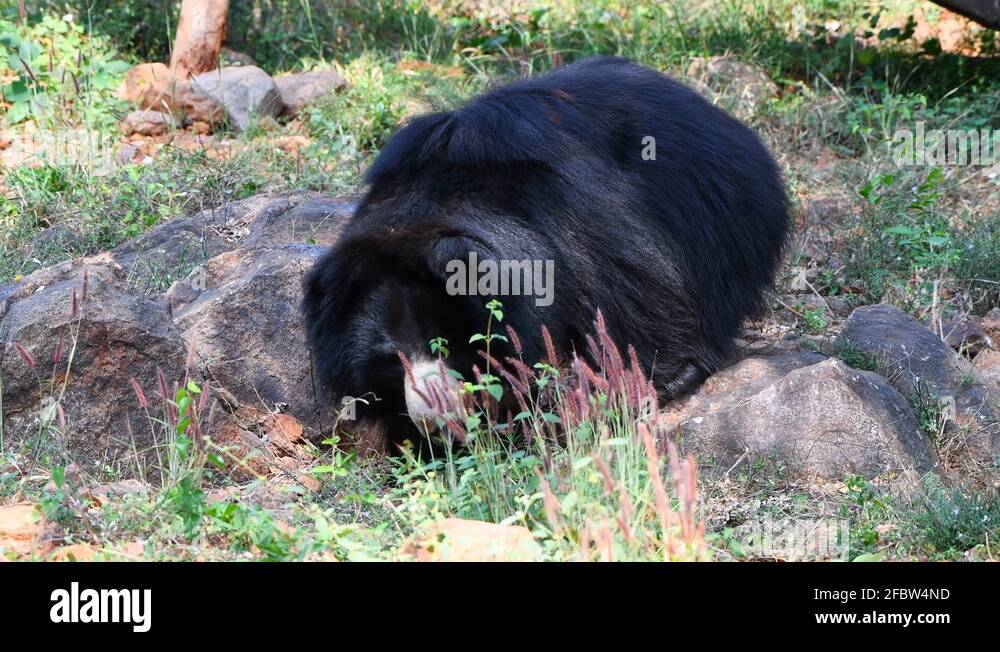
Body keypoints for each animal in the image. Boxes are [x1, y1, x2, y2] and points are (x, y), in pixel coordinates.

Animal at [302, 56, 789, 452]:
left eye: (446, 345)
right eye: (390, 359)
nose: (435, 422)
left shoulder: (583, 226)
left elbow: (632, 290)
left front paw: (651, 380)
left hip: (722, 216)